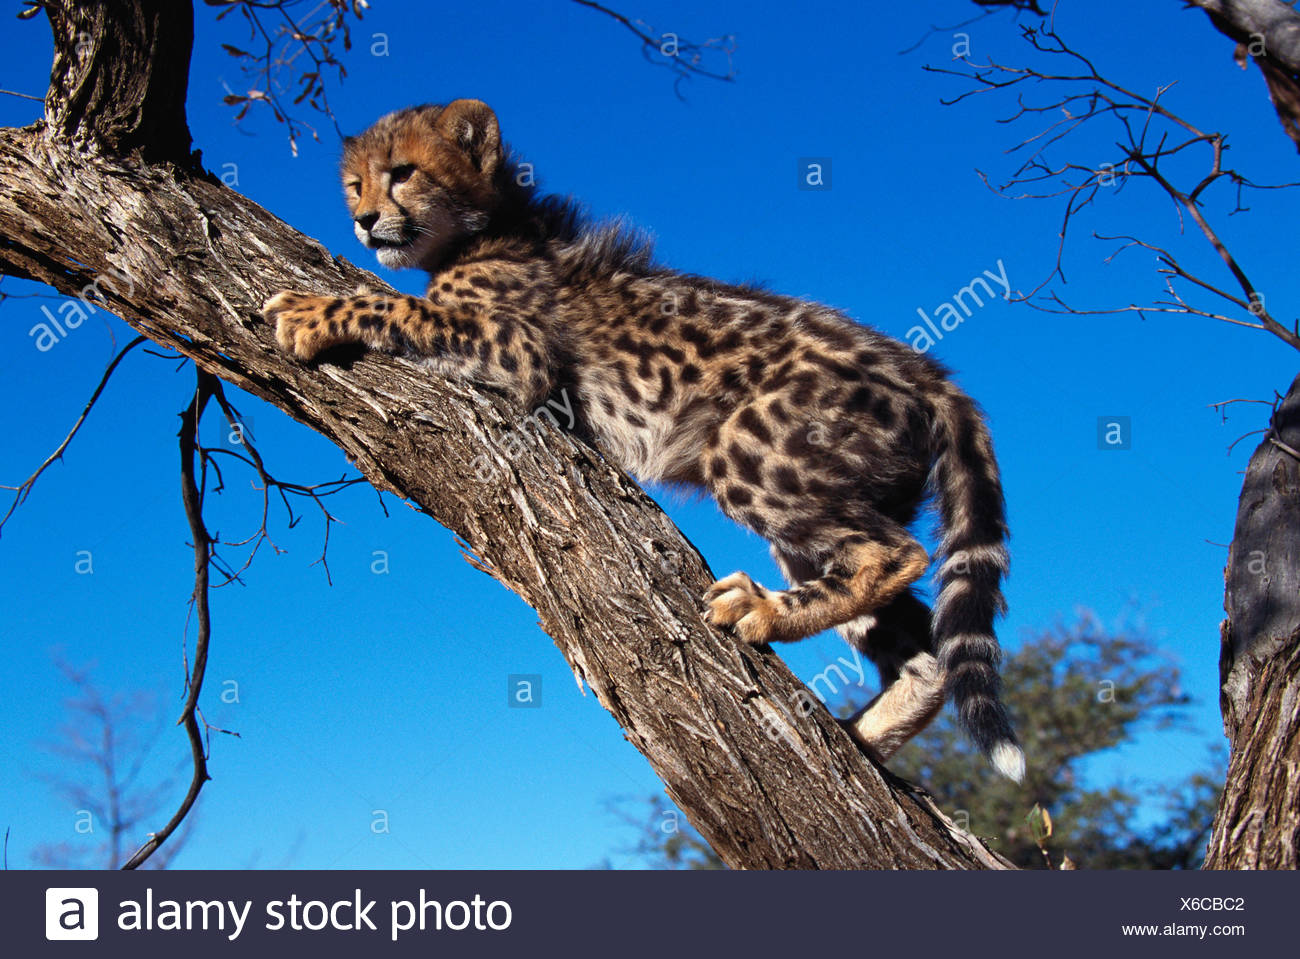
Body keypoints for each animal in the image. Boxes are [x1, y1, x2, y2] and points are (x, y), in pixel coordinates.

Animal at [263, 99, 1025, 781]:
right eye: (355, 184)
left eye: (403, 172)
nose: (363, 220)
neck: (492, 228)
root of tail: (926, 371)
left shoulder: (521, 351)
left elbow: (398, 304)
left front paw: (308, 311)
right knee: (926, 650)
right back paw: (864, 733)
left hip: (749, 449)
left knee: (899, 554)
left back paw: (763, 612)